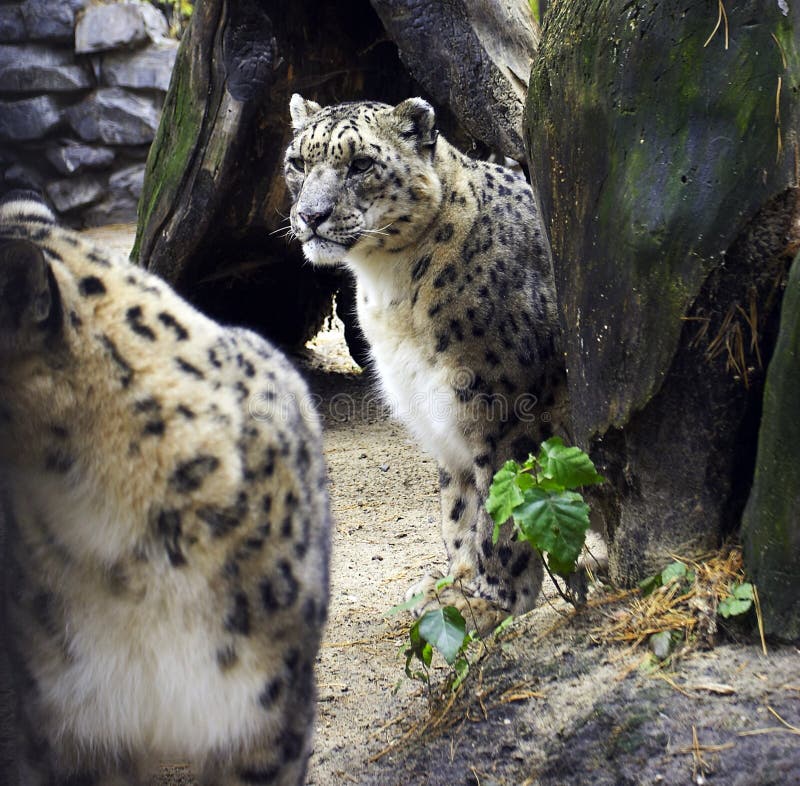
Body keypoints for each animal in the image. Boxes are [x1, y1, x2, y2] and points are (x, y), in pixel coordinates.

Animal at [283, 95, 570, 633]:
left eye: (360, 164)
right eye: (297, 162)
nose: (311, 215)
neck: (389, 287)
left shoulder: (507, 415)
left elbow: (502, 513)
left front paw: (492, 601)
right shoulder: (445, 422)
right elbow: (459, 509)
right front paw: (453, 585)